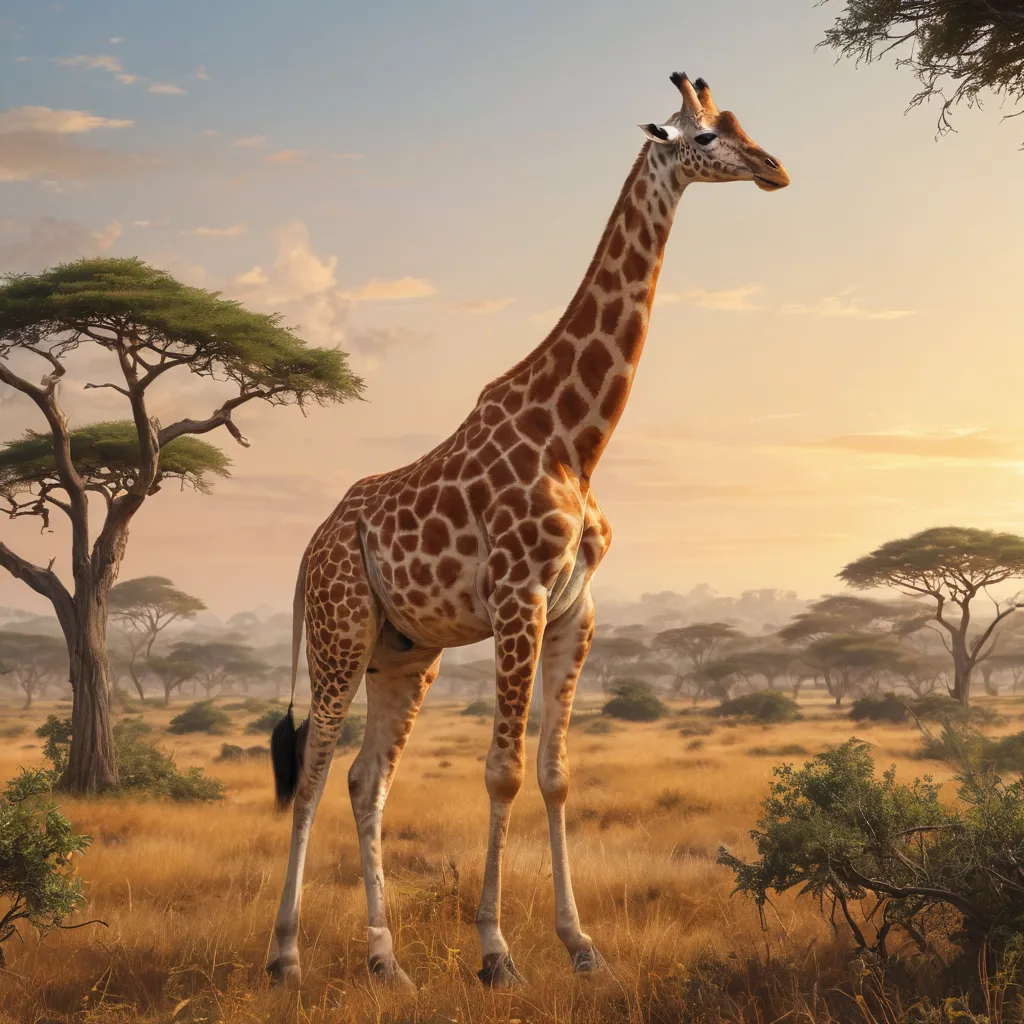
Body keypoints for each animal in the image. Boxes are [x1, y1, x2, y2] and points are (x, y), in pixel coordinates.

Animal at [266, 71, 790, 991]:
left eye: (739, 122)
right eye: (701, 137)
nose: (774, 168)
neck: (575, 439)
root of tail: (313, 543)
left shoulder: (577, 609)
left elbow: (555, 774)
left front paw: (581, 945)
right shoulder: (520, 598)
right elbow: (503, 773)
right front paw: (497, 952)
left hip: (405, 653)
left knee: (367, 781)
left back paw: (385, 960)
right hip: (339, 635)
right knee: (315, 772)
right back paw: (287, 956)